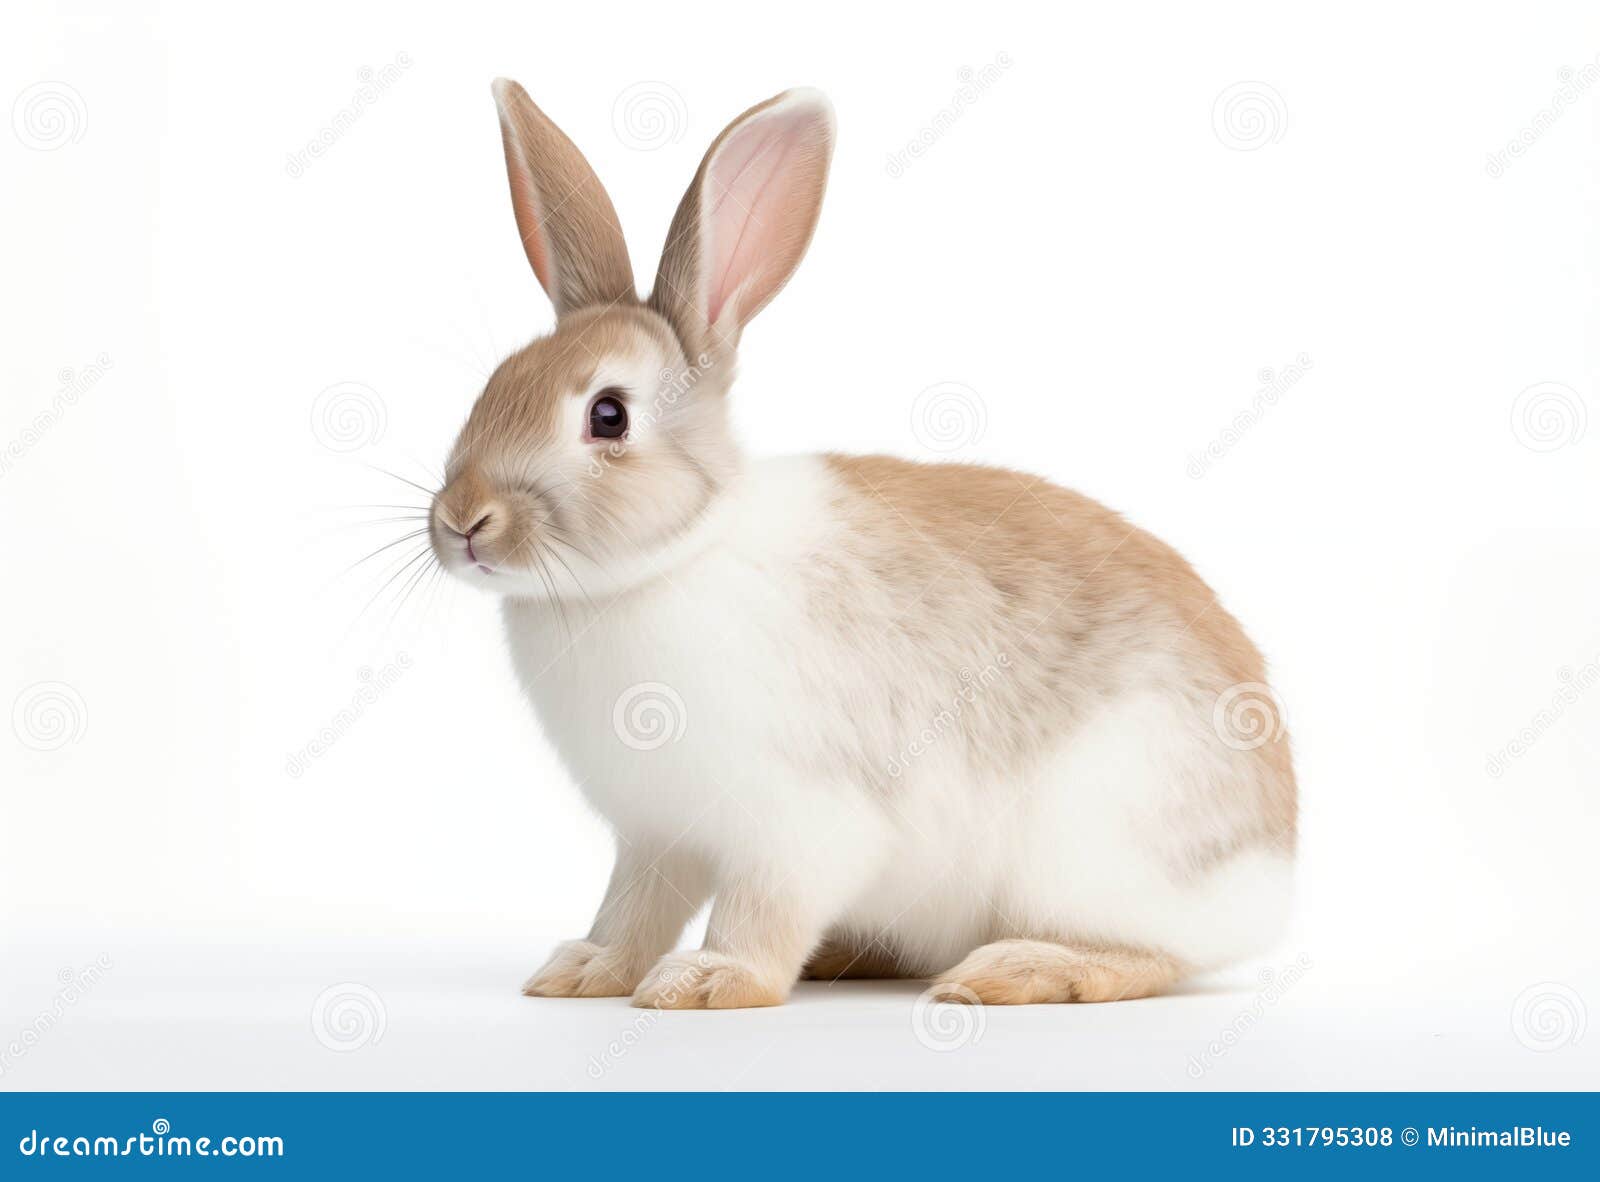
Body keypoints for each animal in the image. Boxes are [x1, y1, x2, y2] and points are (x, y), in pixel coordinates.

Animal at [427, 79, 1297, 1008]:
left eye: (608, 415)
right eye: (494, 386)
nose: (463, 520)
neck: (666, 561)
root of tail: (1275, 865)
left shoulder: (800, 823)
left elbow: (761, 911)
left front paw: (707, 981)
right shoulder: (656, 836)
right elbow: (631, 910)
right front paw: (584, 970)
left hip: (1098, 839)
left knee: (1149, 957)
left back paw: (1013, 971)